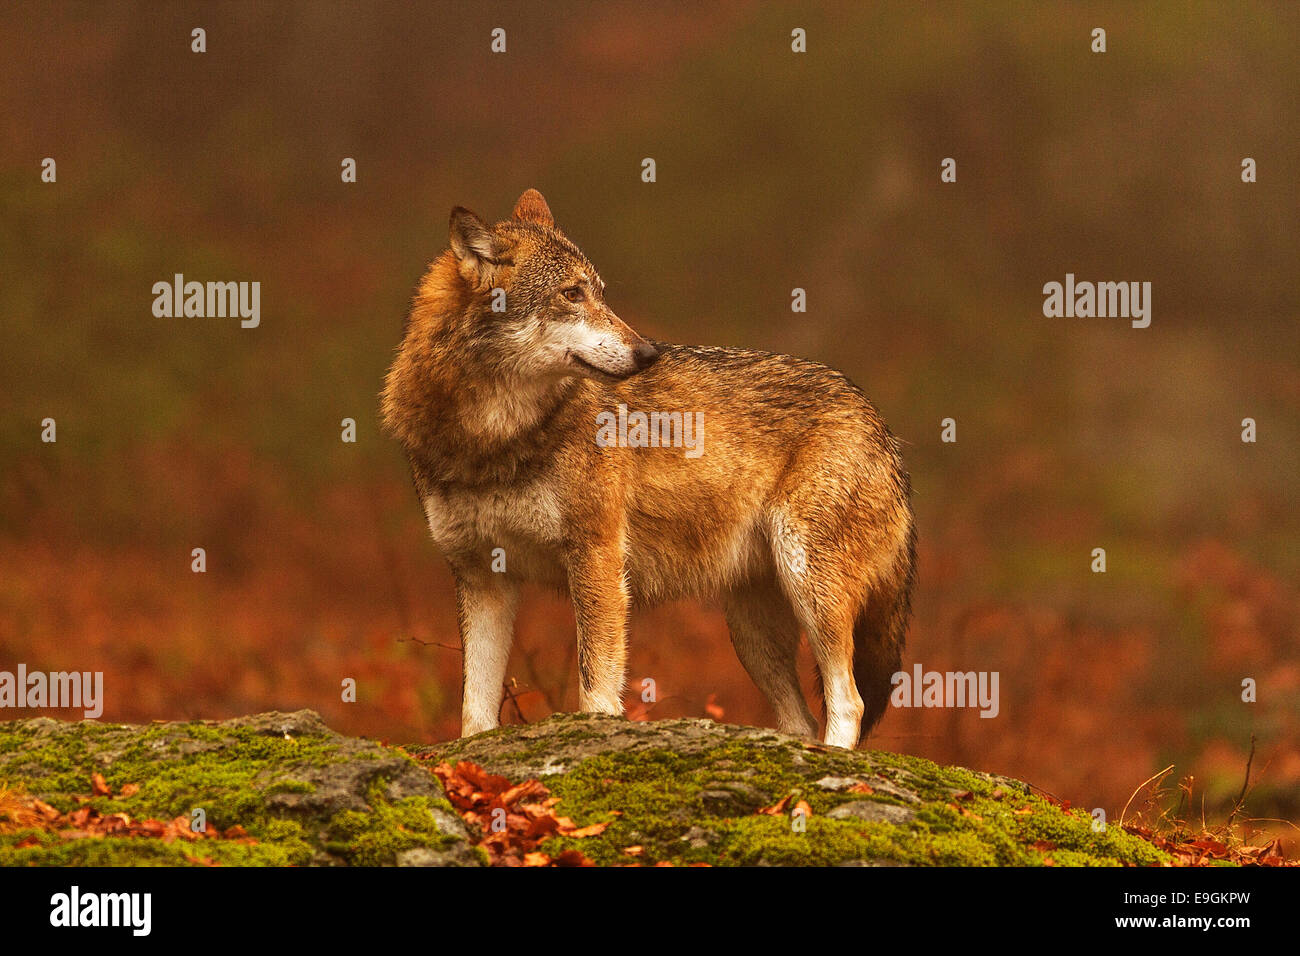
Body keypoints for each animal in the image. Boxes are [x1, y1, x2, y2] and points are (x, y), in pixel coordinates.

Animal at [381, 189, 916, 748]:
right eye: (572, 294)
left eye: (598, 293)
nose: (647, 352)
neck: (491, 438)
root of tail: (880, 423)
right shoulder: (481, 575)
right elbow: (474, 713)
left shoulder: (597, 556)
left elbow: (596, 689)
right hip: (751, 633)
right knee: (801, 721)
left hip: (808, 585)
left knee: (849, 700)